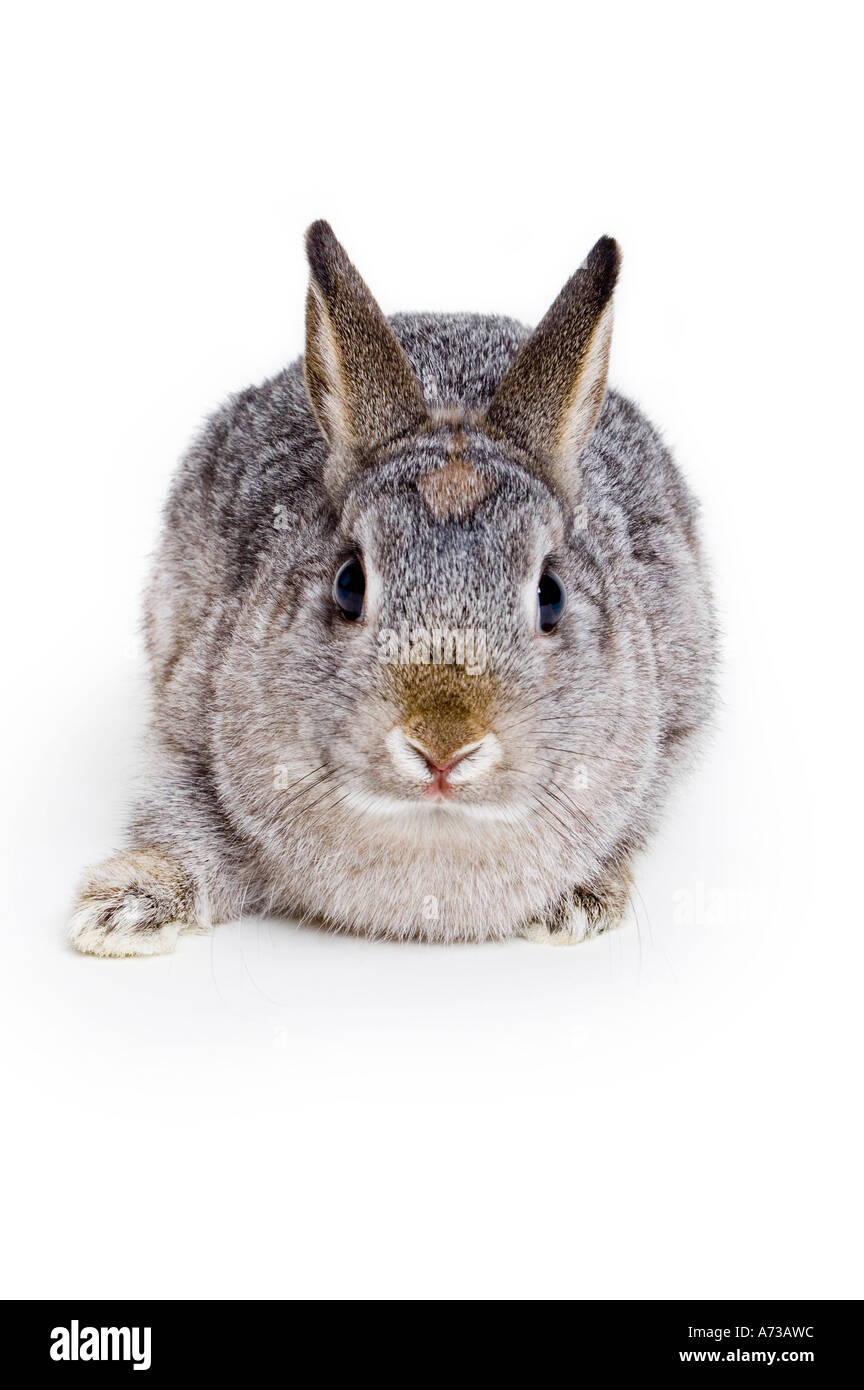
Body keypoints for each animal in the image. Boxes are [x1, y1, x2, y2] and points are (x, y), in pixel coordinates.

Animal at [68, 221, 716, 956]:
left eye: (550, 594)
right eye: (350, 583)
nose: (443, 746)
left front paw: (578, 906)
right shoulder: (186, 741)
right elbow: (185, 838)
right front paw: (119, 910)